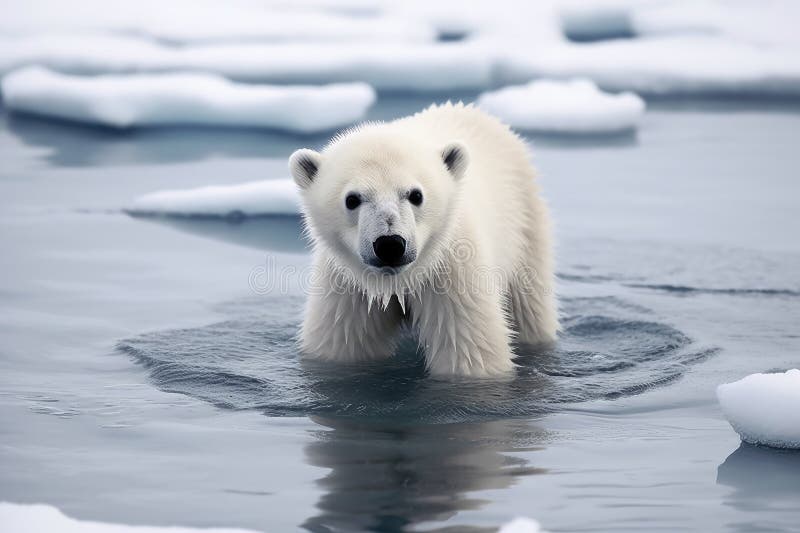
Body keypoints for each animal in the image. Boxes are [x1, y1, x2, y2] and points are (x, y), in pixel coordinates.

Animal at [288, 102, 558, 377]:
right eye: (352, 199)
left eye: (415, 195)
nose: (390, 244)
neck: (397, 283)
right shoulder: (346, 288)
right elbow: (343, 344)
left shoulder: (452, 274)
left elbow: (470, 349)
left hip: (525, 223)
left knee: (529, 303)